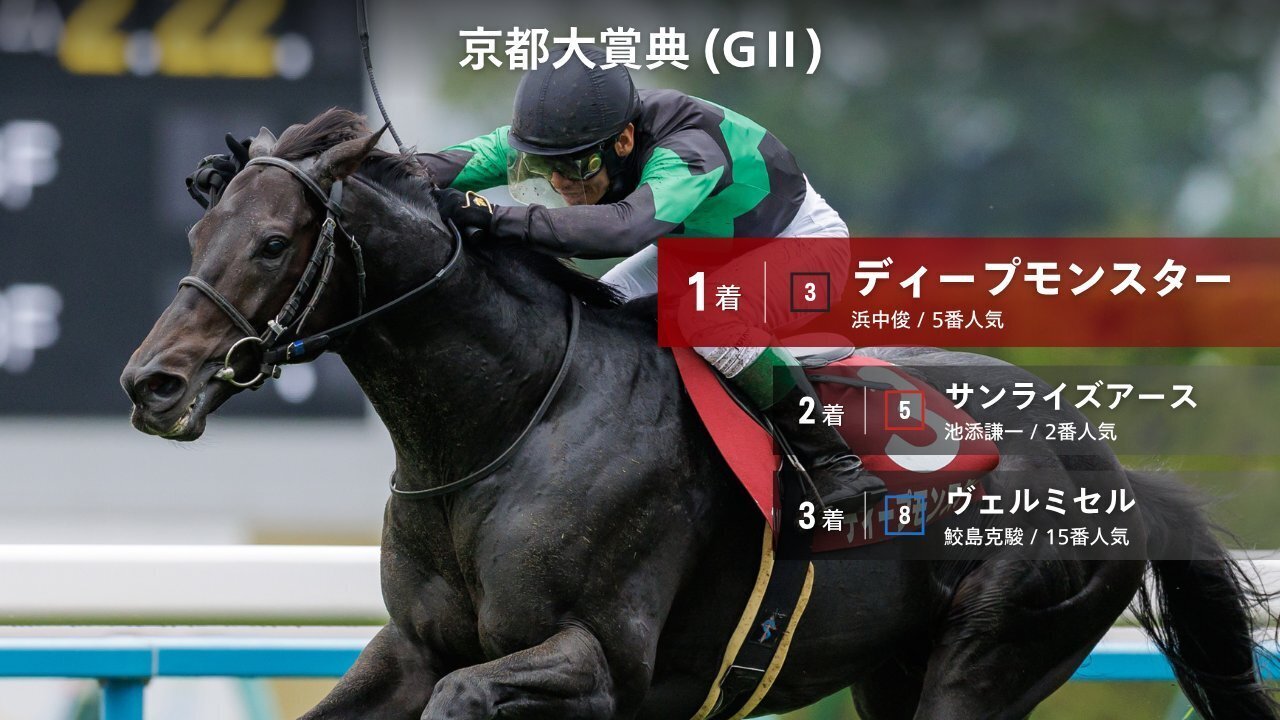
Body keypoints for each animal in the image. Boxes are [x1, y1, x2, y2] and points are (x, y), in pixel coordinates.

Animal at [121, 108, 1278, 719]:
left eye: (275, 243)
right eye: (197, 236)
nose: (151, 386)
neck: (503, 429)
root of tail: (1118, 471)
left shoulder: (597, 661)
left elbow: (473, 697)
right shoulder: (408, 647)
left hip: (992, 653)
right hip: (894, 670)